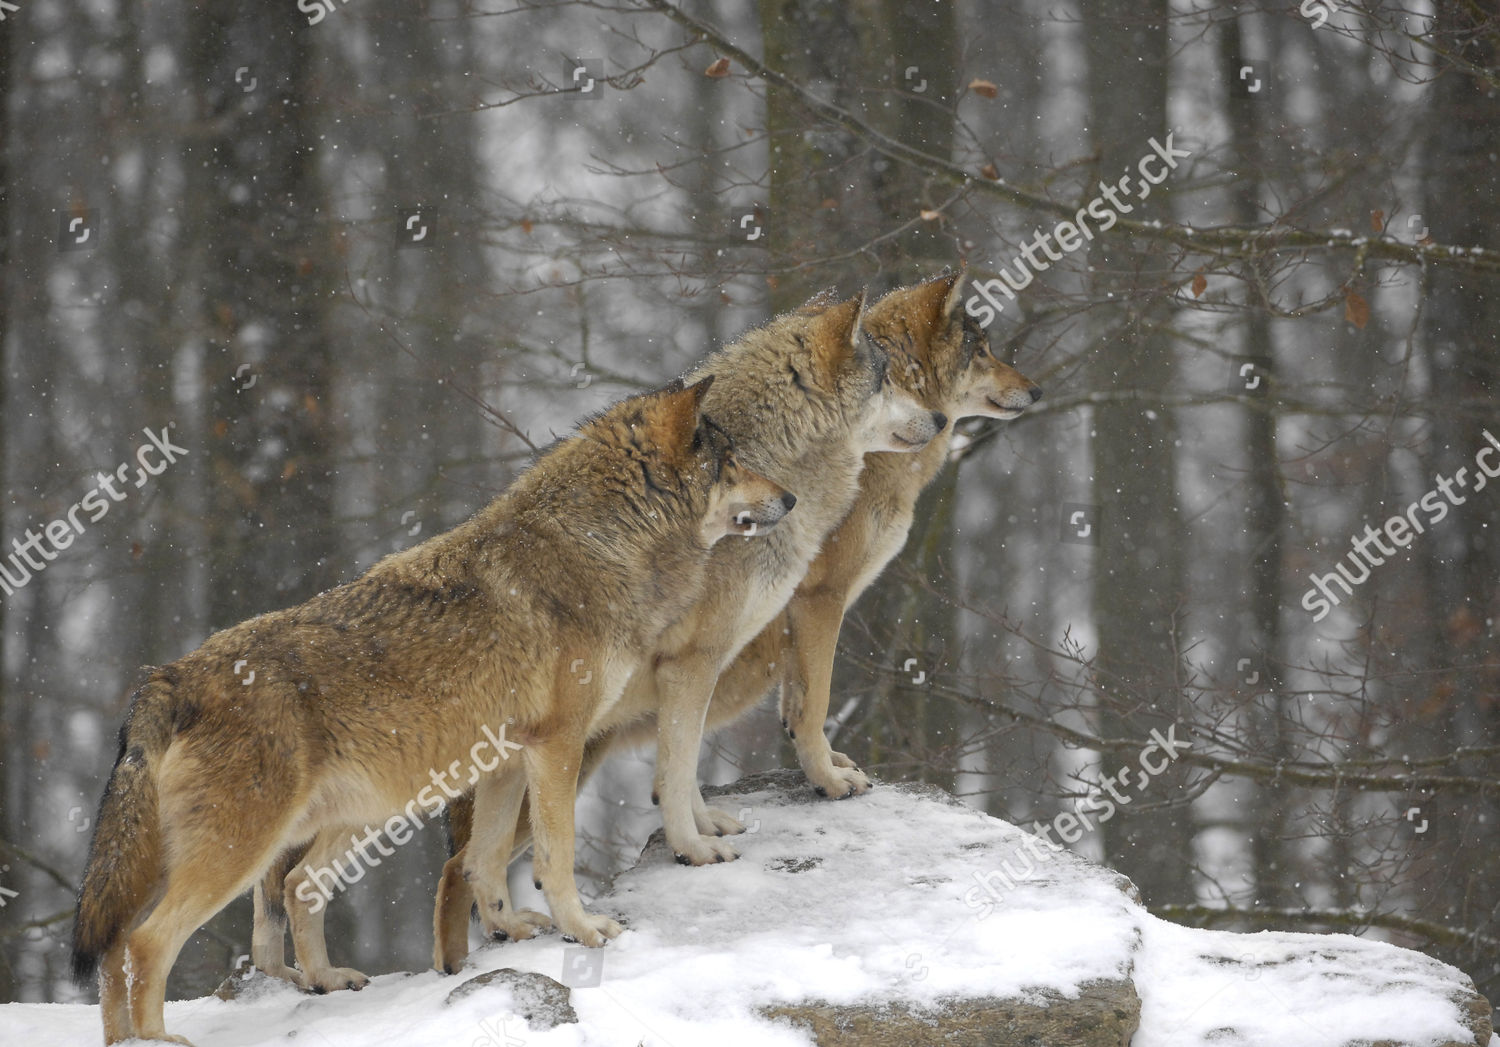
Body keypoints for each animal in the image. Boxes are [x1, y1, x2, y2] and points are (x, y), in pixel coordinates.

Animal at [69, 376, 795, 1046]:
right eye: (731, 461)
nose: (789, 498)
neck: (597, 545)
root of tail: (167, 676)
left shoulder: (507, 759)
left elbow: (484, 859)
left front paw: (508, 927)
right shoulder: (556, 744)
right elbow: (553, 858)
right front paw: (584, 930)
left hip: (339, 820)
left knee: (246, 904)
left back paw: (314, 982)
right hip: (244, 848)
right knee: (145, 943)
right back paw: (156, 1040)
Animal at [427, 272, 1041, 972]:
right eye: (982, 350)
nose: (1035, 391)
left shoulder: (723, 652)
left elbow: (705, 750)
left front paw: (713, 821)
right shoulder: (799, 609)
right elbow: (803, 708)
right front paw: (813, 789)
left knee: (467, 864)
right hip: (559, 764)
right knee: (457, 870)